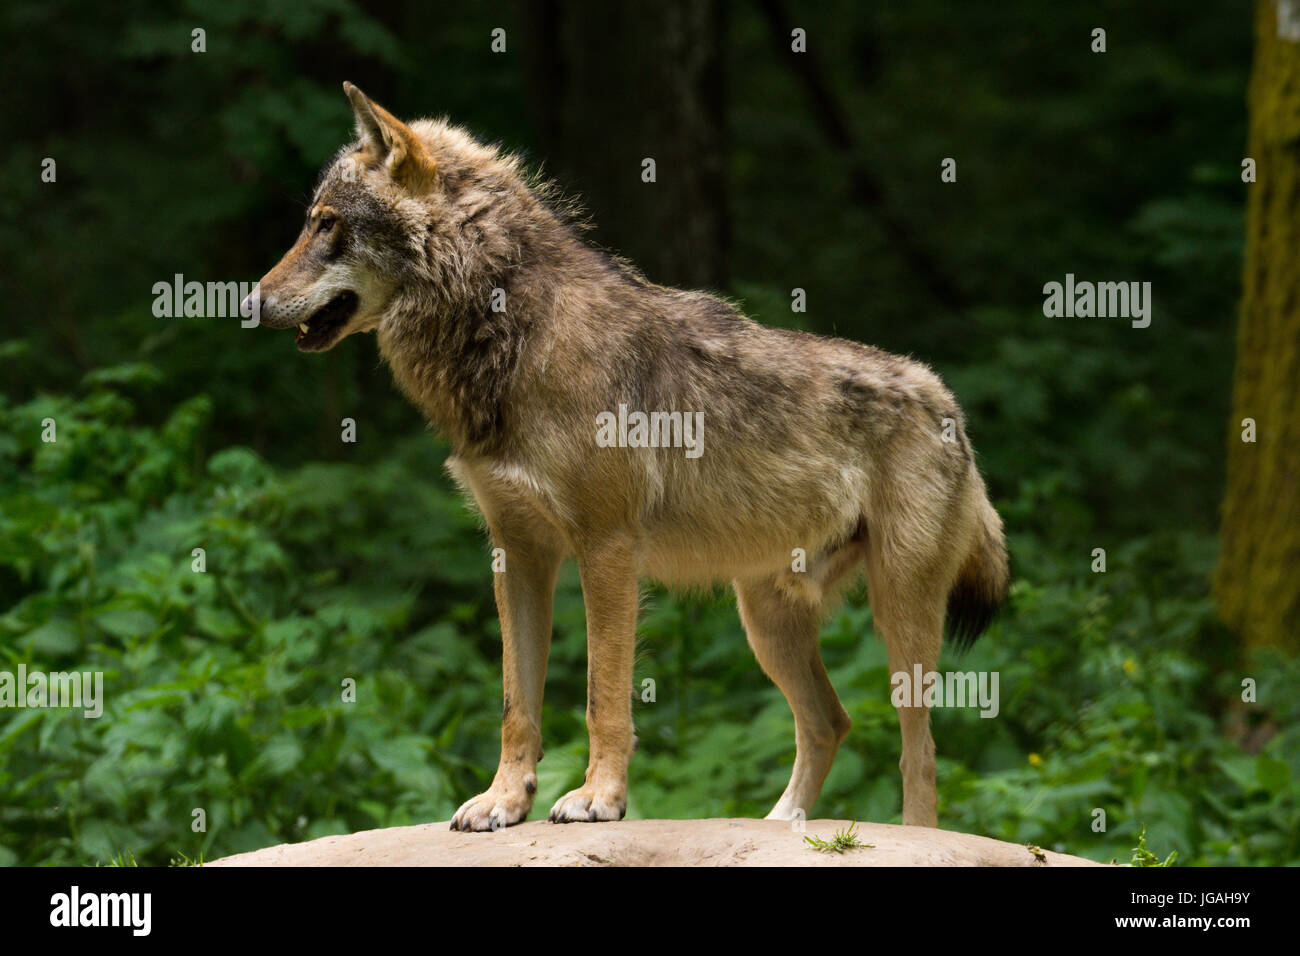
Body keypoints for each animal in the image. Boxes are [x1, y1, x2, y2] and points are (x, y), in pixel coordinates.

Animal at [248, 82, 1009, 831]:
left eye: (326, 225)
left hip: (898, 617)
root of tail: (946, 398)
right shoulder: (516, 552)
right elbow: (515, 703)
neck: (511, 335)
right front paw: (504, 801)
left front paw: (598, 799)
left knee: (920, 757)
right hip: (767, 621)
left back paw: (905, 837)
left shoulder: (605, 547)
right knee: (831, 722)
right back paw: (779, 825)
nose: (249, 303)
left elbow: (602, 695)